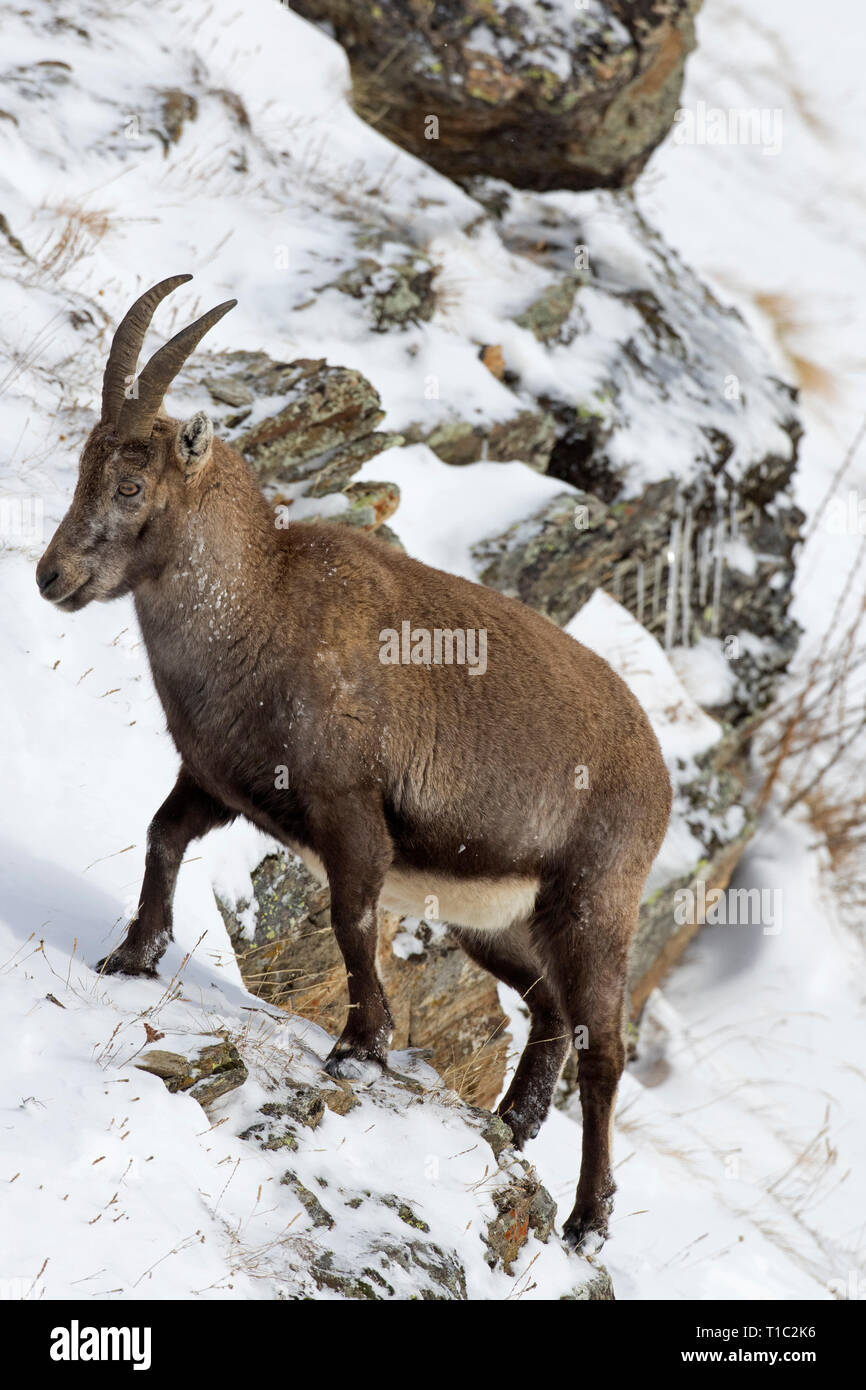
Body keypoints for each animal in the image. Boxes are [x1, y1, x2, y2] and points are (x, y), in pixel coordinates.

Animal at [36, 277, 671, 1250]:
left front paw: (361, 1048)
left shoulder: (350, 810)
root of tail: (659, 769)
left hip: (594, 904)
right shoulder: (218, 783)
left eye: (131, 482)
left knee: (605, 1052)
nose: (52, 576)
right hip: (493, 917)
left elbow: (350, 919)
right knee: (549, 1009)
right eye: (82, 469)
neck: (259, 608)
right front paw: (130, 958)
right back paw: (512, 1124)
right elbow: (161, 839)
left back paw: (587, 1219)